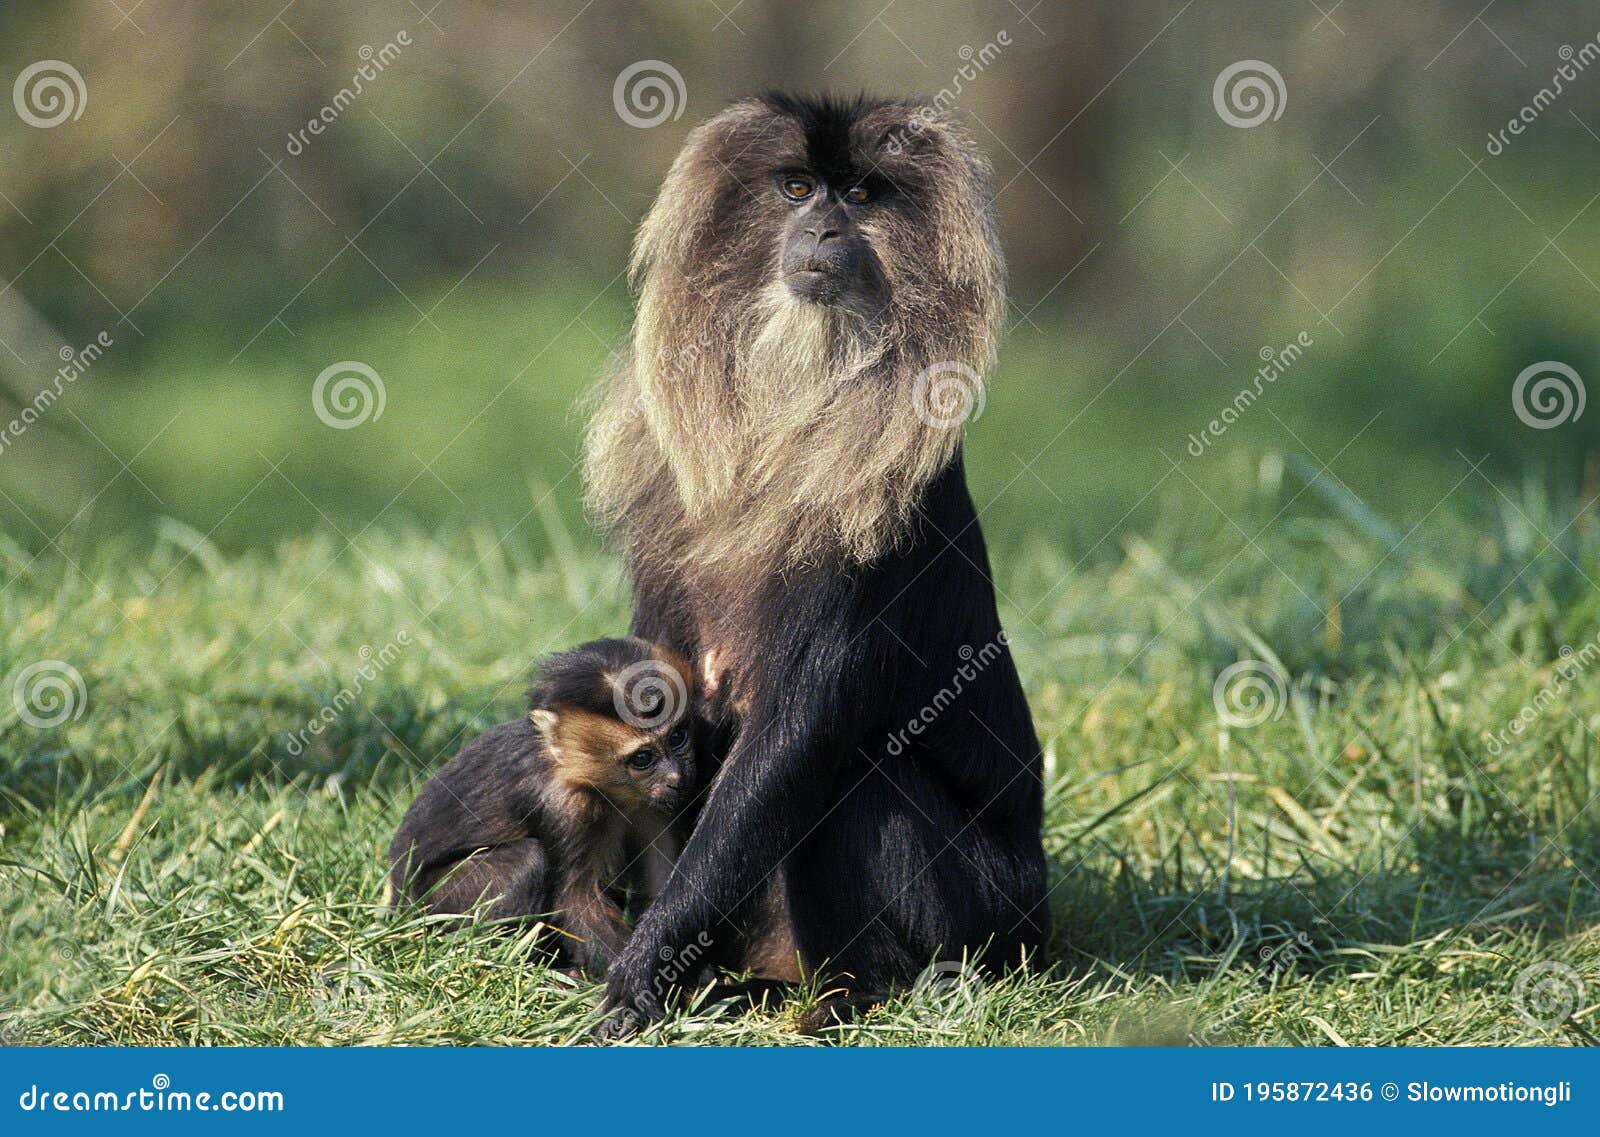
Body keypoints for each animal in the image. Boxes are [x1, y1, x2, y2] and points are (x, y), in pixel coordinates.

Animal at [387, 637, 702, 977]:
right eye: (643, 758)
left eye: (678, 737)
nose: (675, 778)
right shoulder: (561, 805)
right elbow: (577, 901)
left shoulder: (654, 805)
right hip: (434, 905)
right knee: (528, 861)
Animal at [583, 93, 1049, 1036]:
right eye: (797, 188)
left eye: (863, 196)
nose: (825, 229)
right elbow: (662, 706)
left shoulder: (880, 515)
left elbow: (796, 737)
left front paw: (647, 961)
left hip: (992, 919)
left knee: (855, 784)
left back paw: (852, 1000)